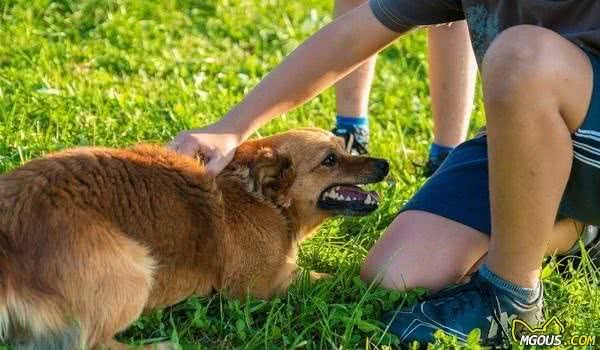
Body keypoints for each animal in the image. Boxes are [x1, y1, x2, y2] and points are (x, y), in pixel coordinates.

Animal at [0, 127, 390, 348]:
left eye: (345, 148)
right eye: (330, 160)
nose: (386, 164)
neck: (260, 198)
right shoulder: (260, 286)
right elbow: (332, 277)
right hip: (135, 267)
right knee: (92, 344)